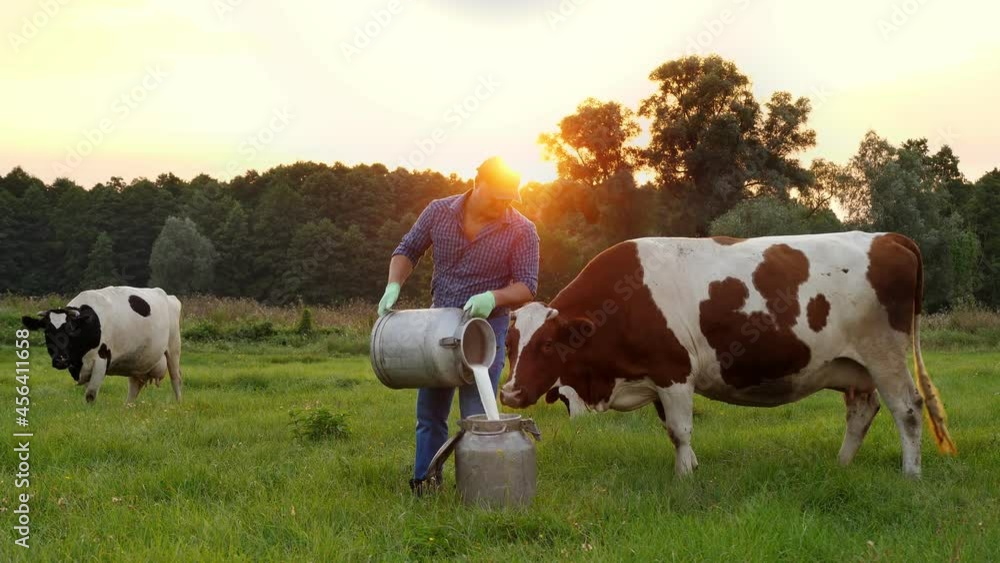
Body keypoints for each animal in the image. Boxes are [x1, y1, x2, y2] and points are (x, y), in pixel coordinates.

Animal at [21, 286, 183, 405]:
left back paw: (178, 404)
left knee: (176, 378)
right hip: (137, 359)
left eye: (71, 329)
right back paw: (127, 407)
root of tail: (168, 296)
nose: (60, 360)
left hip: (174, 347)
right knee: (134, 385)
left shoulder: (101, 359)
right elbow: (87, 391)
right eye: (47, 332)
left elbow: (90, 395)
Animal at [500, 232, 957, 477]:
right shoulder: (660, 380)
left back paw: (911, 473)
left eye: (547, 344)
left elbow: (679, 430)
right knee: (862, 412)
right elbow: (673, 430)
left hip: (885, 355)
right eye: (509, 344)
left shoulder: (673, 373)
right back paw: (841, 465)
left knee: (908, 410)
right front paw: (691, 467)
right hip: (854, 367)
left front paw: (684, 477)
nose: (509, 393)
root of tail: (886, 237)